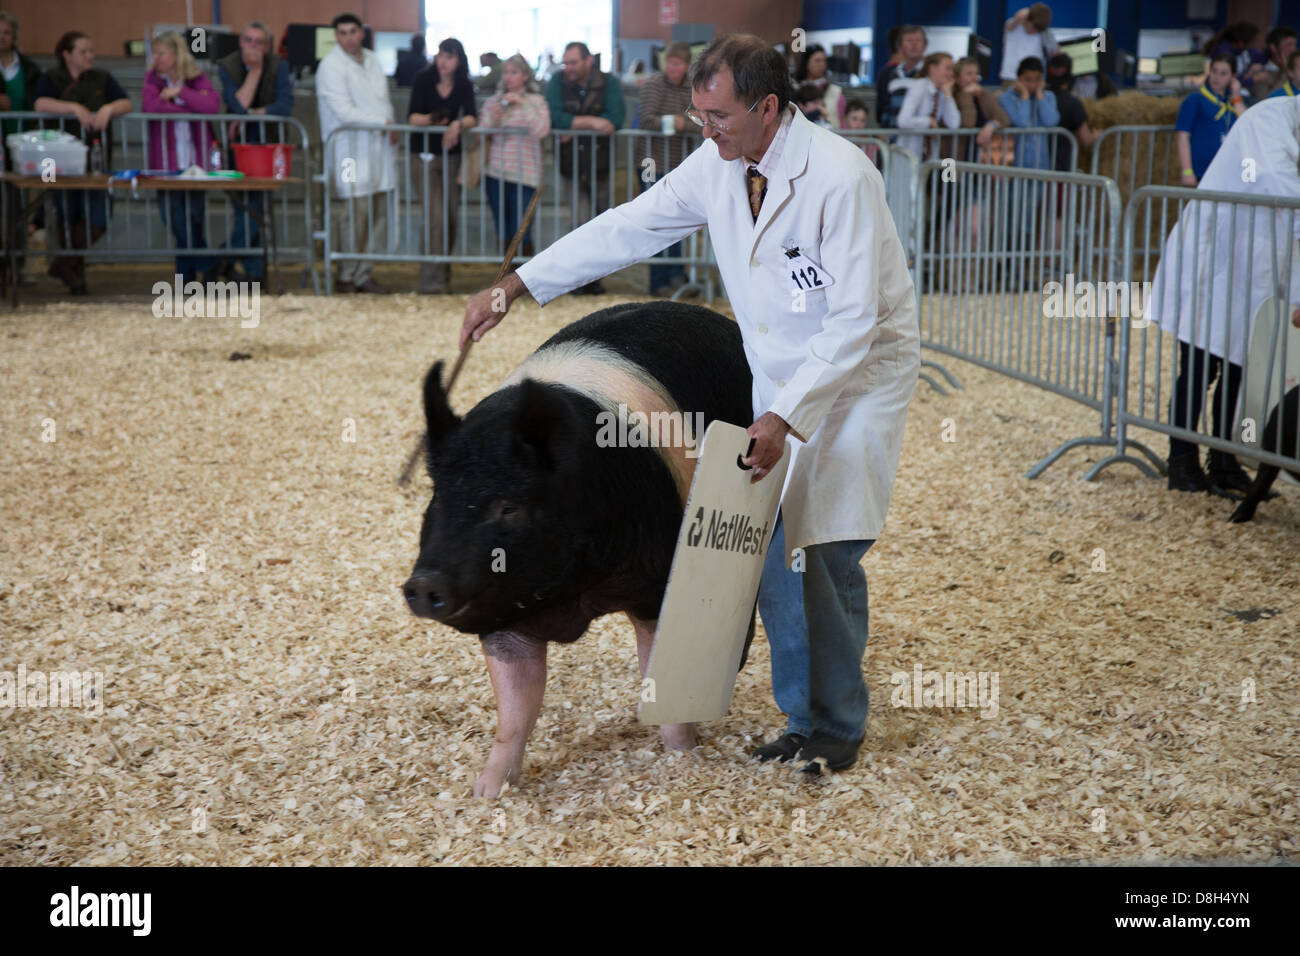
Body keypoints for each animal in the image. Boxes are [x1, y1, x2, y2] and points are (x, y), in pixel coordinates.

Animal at [404, 301, 756, 797]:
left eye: (509, 506)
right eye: (438, 496)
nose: (423, 584)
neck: (576, 591)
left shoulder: (656, 587)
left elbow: (656, 671)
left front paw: (683, 754)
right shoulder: (503, 612)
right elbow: (517, 706)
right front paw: (487, 792)